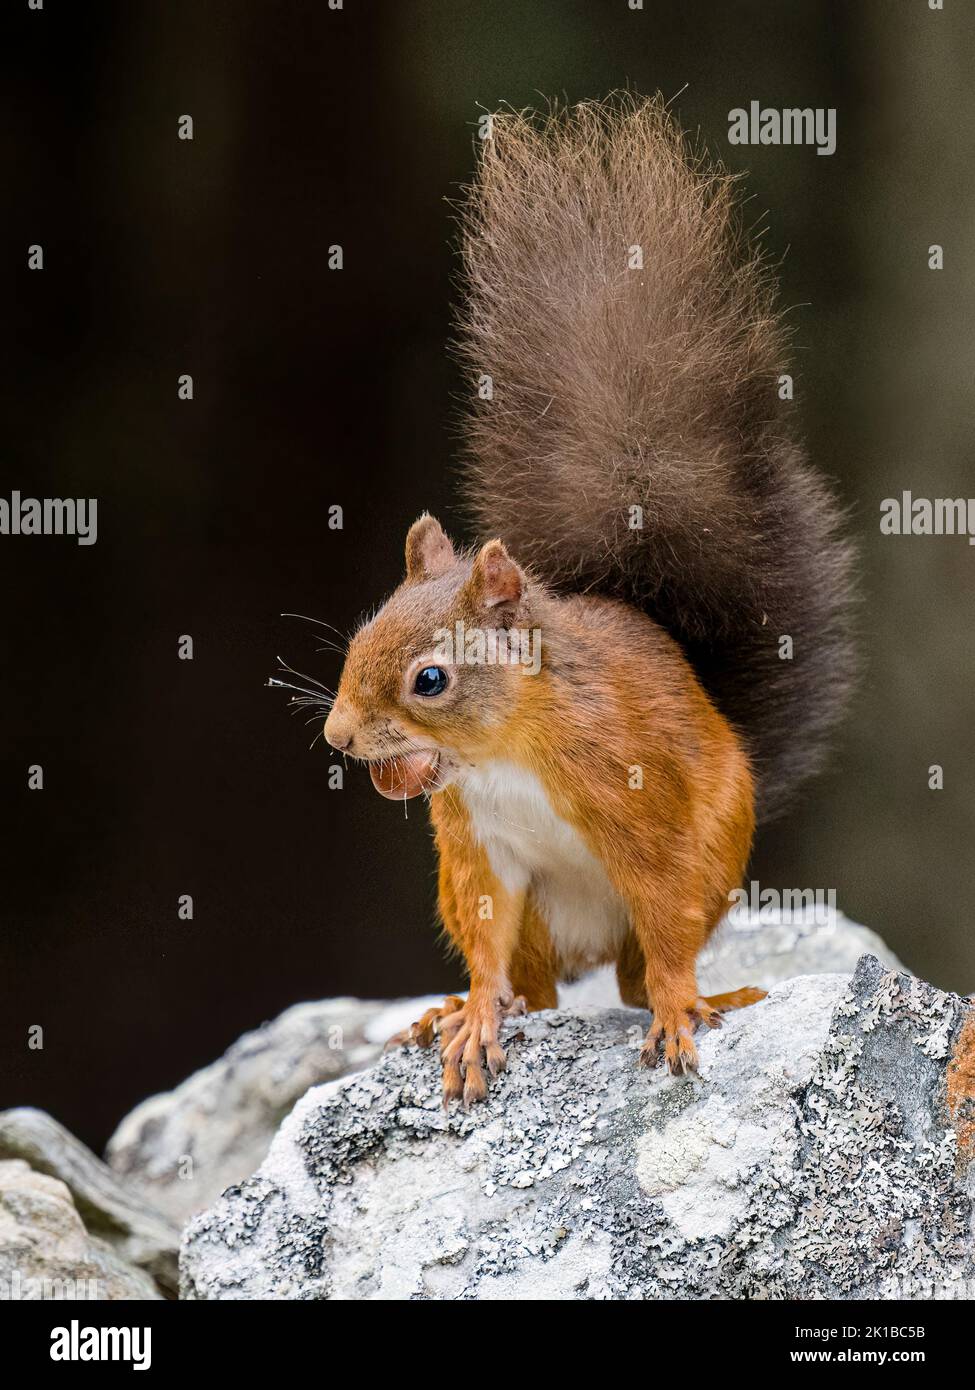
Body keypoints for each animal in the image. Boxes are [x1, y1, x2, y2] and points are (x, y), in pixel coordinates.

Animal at [320, 96, 855, 1105]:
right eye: (357, 639)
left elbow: (665, 917)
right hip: (530, 916)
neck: (504, 753)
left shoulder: (641, 802)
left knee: (637, 969)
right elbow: (485, 938)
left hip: (700, 863)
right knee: (534, 984)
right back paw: (452, 1012)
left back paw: (707, 997)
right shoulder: (478, 849)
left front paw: (684, 1011)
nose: (337, 739)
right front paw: (474, 1014)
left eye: (430, 680)